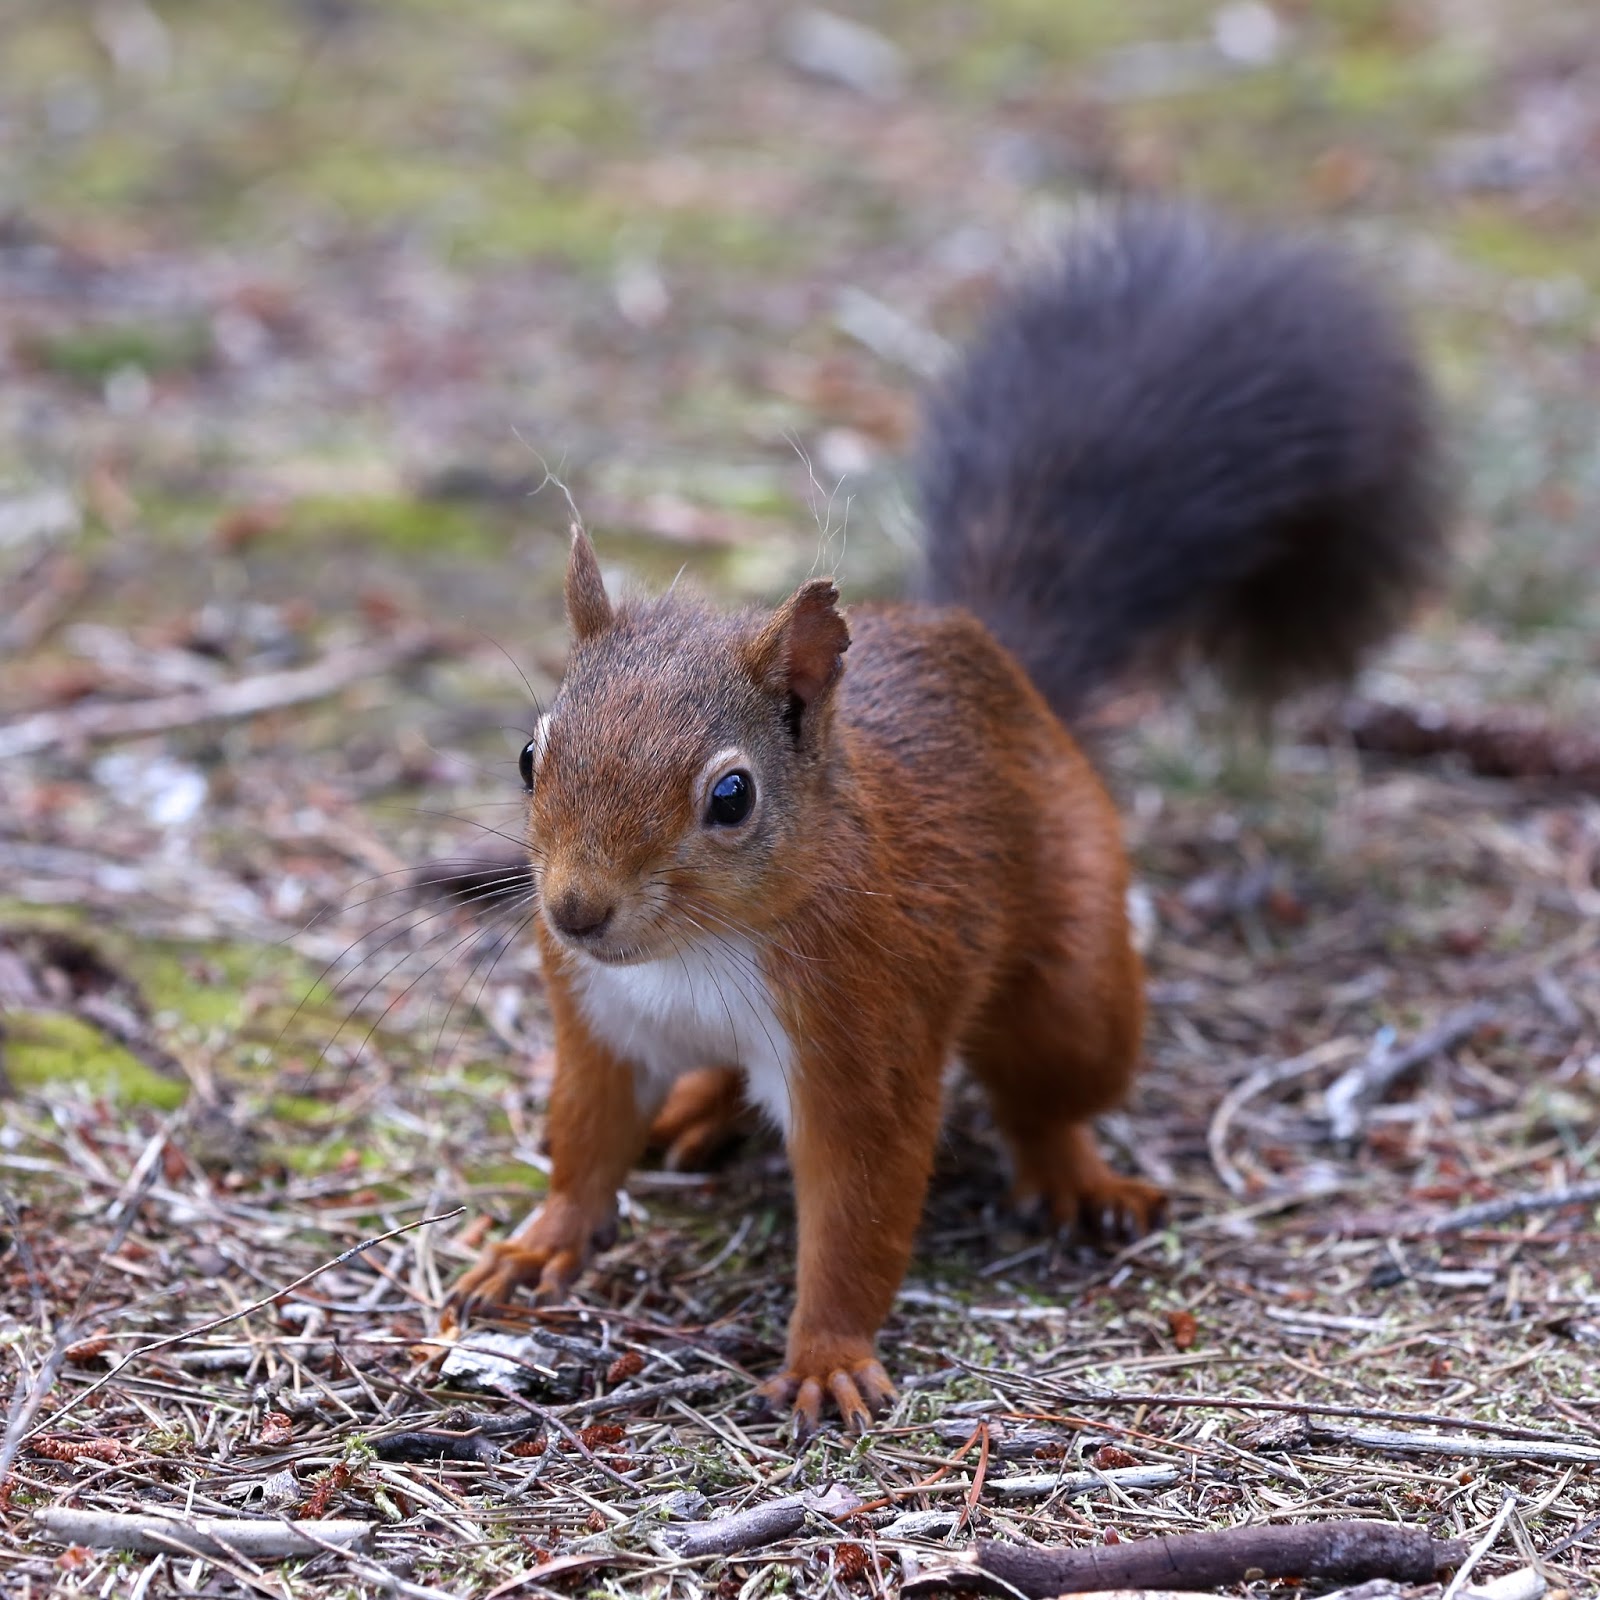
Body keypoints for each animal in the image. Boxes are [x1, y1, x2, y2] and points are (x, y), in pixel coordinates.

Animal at [449, 203, 1450, 1437]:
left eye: (730, 797)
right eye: (528, 754)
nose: (576, 911)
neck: (696, 953)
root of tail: (1006, 667)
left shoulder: (866, 1030)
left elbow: (861, 1210)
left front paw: (827, 1355)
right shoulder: (597, 1020)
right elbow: (584, 1146)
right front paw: (534, 1245)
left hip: (1073, 973)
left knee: (1054, 1088)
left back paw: (1077, 1176)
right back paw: (695, 1107)